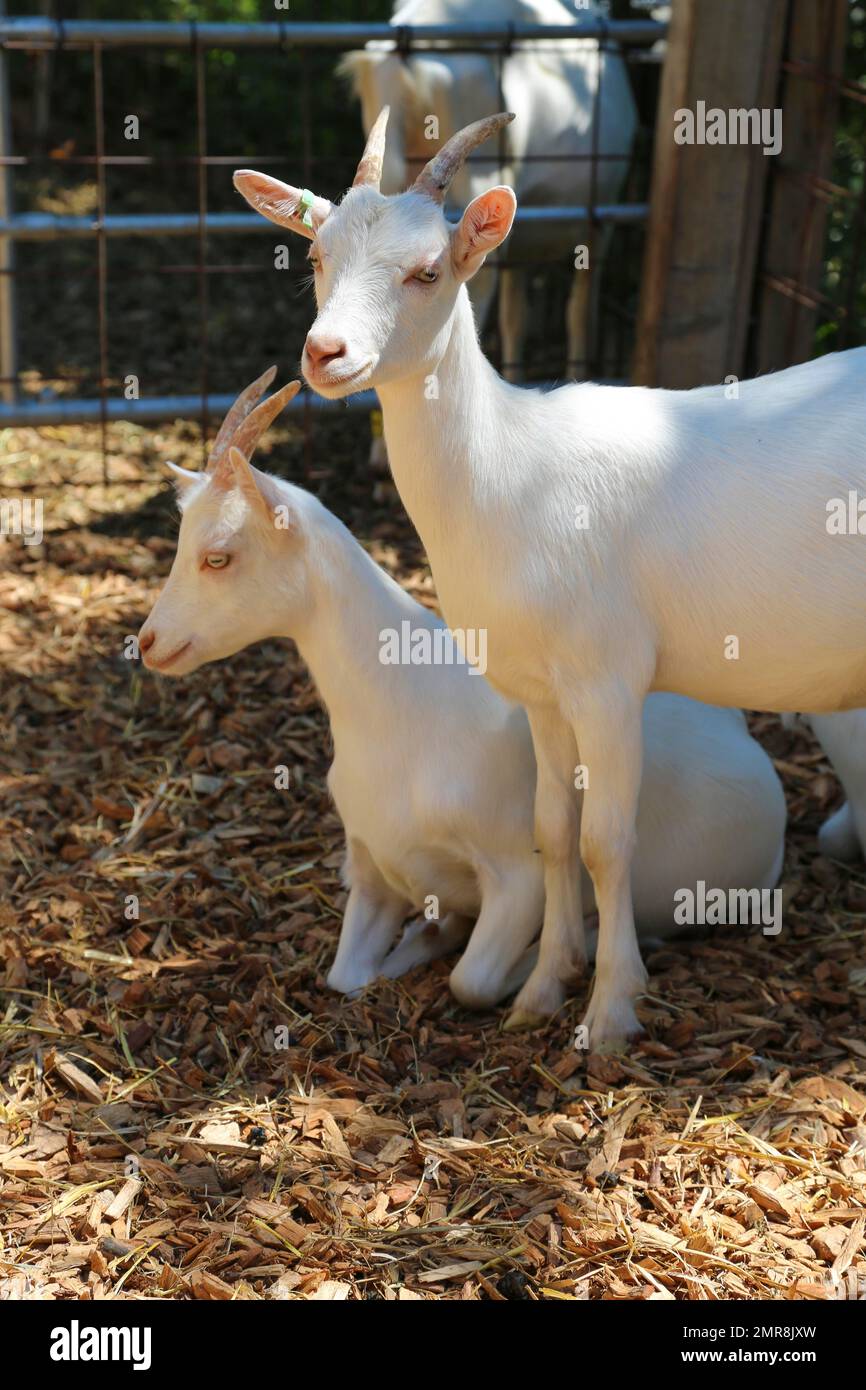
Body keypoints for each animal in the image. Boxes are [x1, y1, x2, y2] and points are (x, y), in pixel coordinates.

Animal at [137, 369, 785, 1010]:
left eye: (219, 557)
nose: (148, 641)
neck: (404, 716)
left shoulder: (517, 878)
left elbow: (471, 981)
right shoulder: (371, 866)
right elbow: (346, 977)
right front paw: (423, 939)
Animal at [234, 111, 866, 1046]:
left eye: (429, 270)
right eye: (316, 256)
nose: (325, 354)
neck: (515, 471)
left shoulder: (609, 681)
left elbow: (607, 839)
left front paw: (610, 1013)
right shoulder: (538, 690)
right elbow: (552, 831)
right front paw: (541, 990)